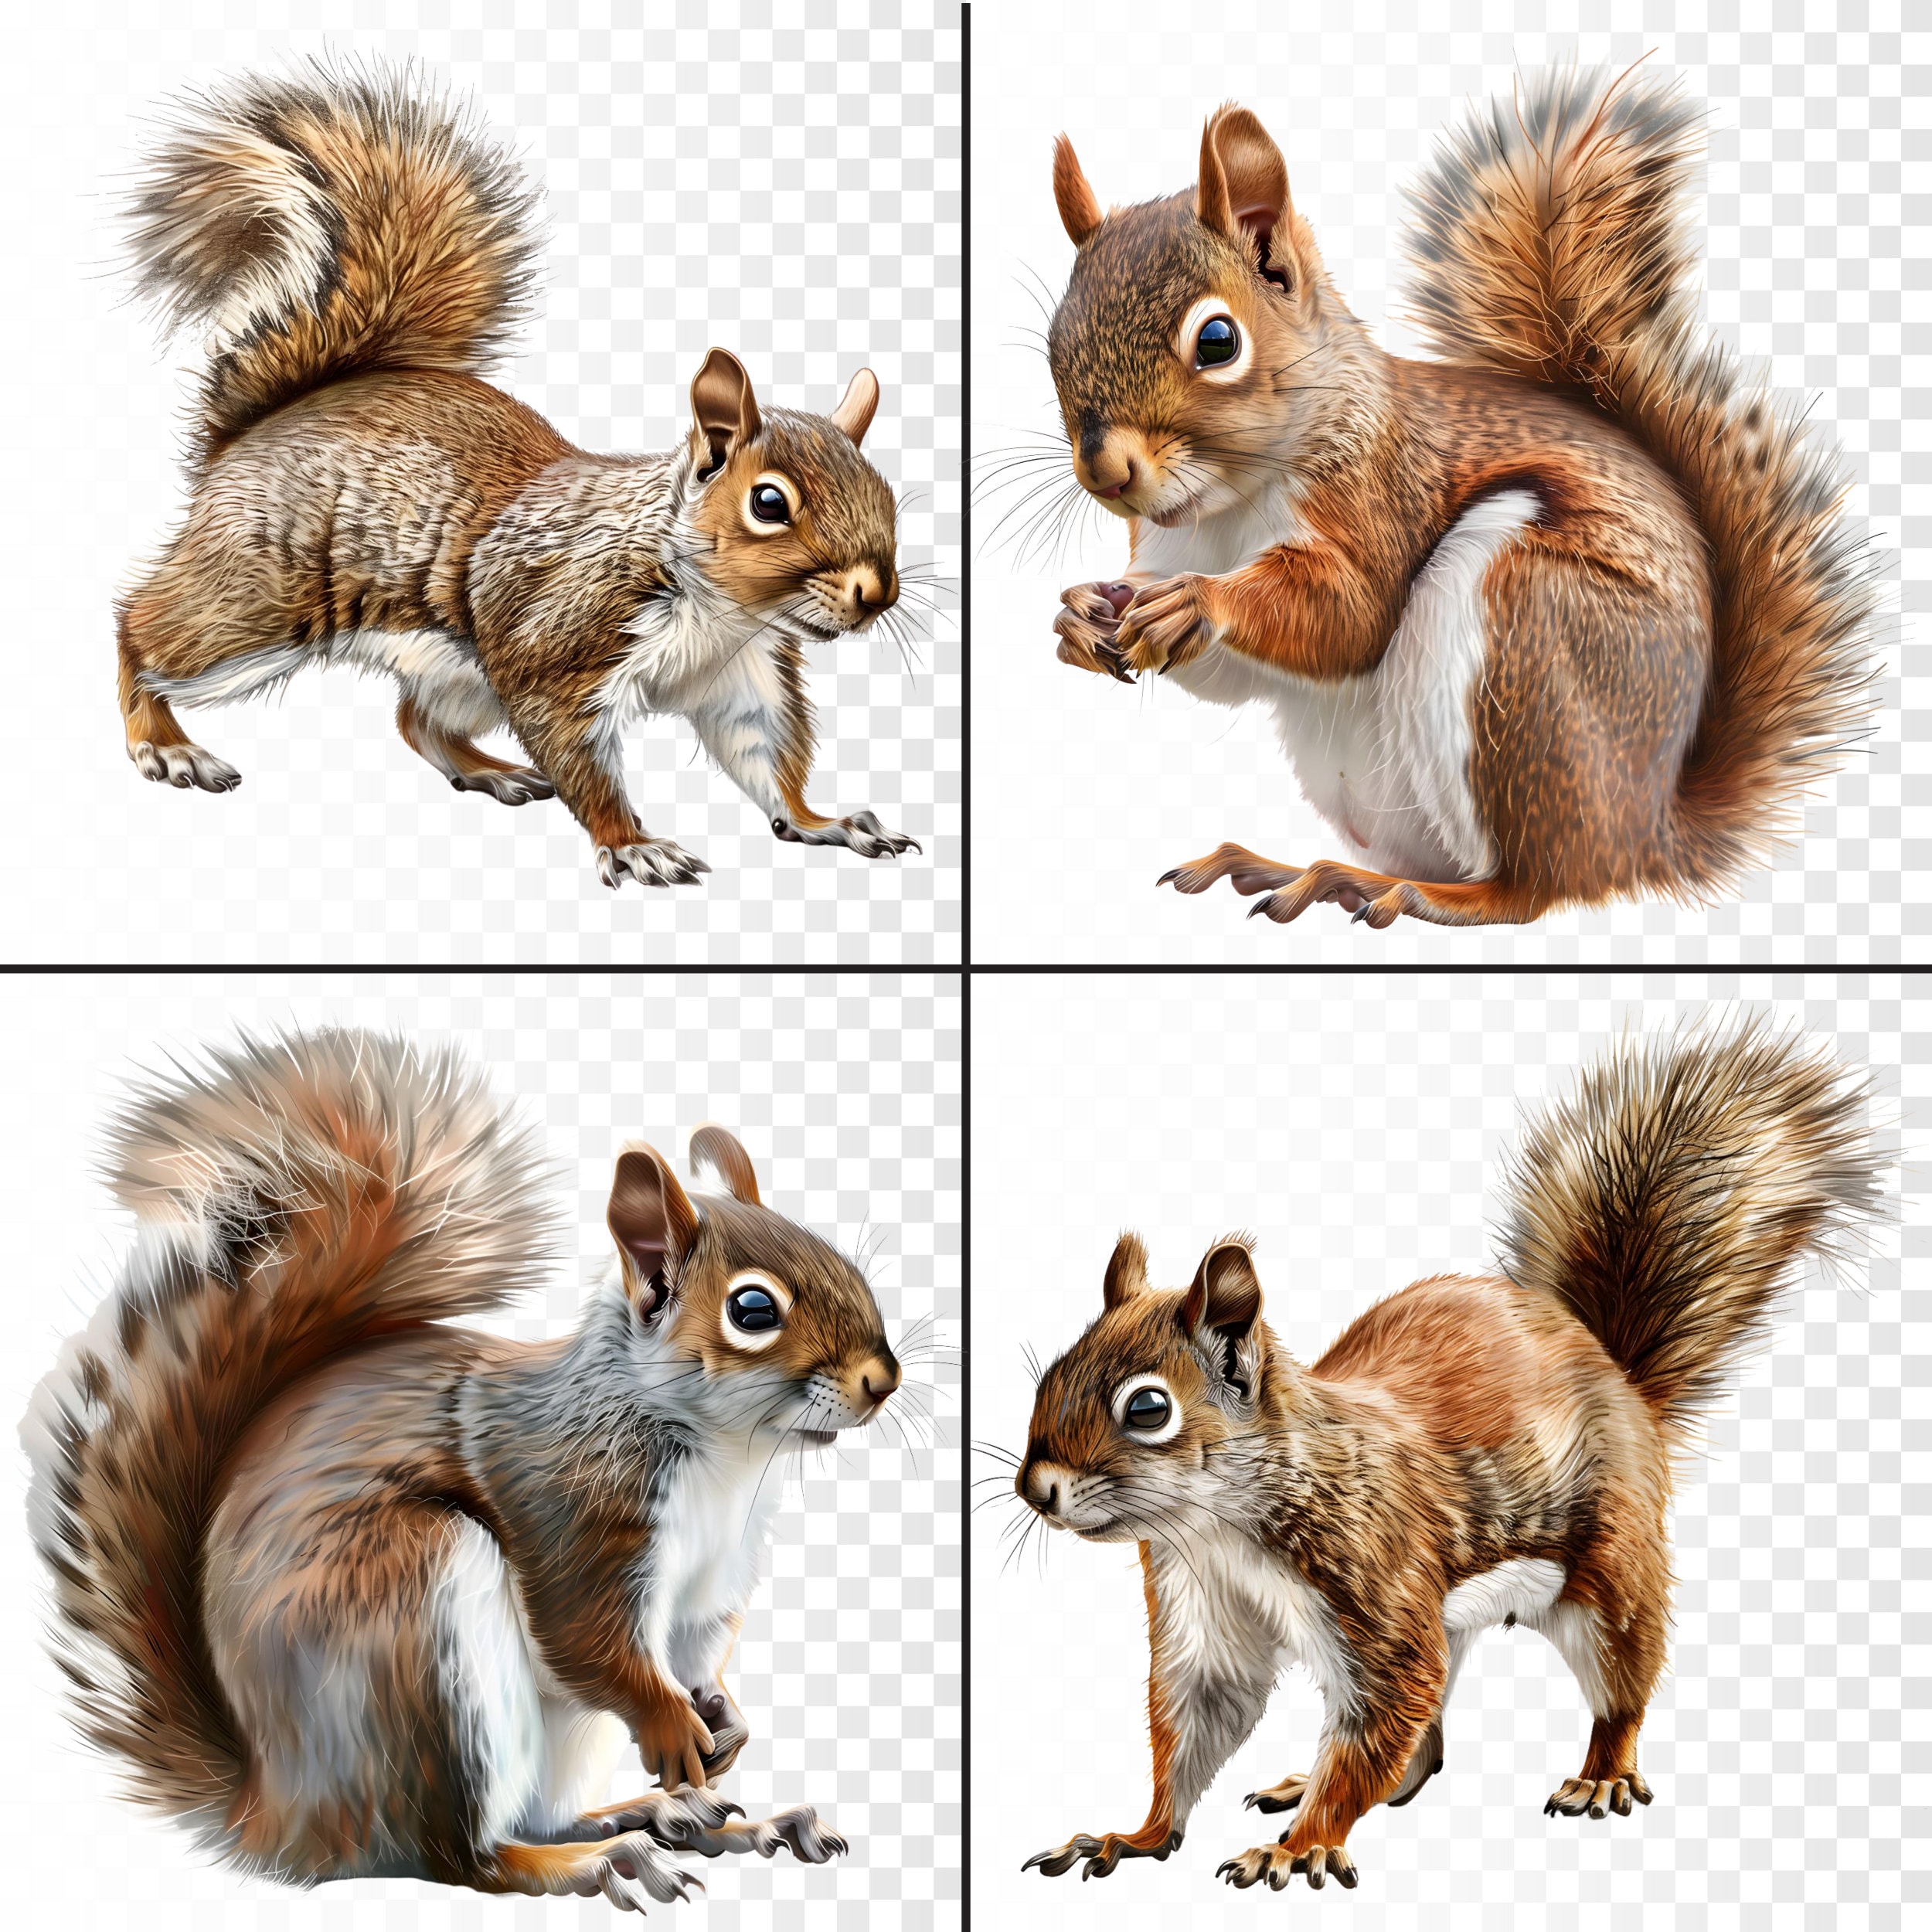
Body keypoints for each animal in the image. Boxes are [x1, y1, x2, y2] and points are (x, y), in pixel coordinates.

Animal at [22, 1028, 905, 1908]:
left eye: (843, 1262)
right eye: (753, 1310)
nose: (883, 1379)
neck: (728, 1457)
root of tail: (279, 1809)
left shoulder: (712, 1577)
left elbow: (694, 1649)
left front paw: (726, 1721)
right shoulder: (568, 1508)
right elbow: (589, 1639)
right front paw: (669, 1724)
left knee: (539, 1816)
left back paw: (682, 1818)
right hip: (416, 1629)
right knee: (458, 1854)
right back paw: (607, 1856)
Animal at [114, 61, 918, 890]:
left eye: (887, 494)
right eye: (768, 502)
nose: (877, 594)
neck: (716, 613)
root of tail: (256, 430)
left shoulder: (744, 676)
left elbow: (768, 758)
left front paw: (826, 823)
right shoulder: (558, 642)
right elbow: (577, 755)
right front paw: (633, 845)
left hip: (460, 676)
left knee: (416, 719)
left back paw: (487, 770)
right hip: (257, 598)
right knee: (142, 635)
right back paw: (167, 744)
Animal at [1014, 1019, 1884, 1891]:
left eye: (1148, 1408)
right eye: (1052, 1374)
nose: (1036, 1489)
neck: (1223, 1524)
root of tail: (1615, 1370)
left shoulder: (1376, 1578)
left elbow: (1384, 1707)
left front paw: (1299, 1848)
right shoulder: (1203, 1604)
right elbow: (1200, 1716)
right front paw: (1136, 1834)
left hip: (1611, 1569)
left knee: (1619, 1683)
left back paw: (1600, 1772)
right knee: (1422, 1744)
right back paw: (1304, 1778)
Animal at [1042, 66, 1871, 927]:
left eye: (1216, 341)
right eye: (1053, 344)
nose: (1105, 472)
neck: (1223, 511)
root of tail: (1646, 832)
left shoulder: (1379, 491)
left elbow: (1349, 615)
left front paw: (1200, 601)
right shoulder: (1163, 543)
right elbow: (1224, 671)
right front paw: (1080, 615)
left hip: (1526, 638)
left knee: (1533, 888)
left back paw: (1407, 891)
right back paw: (1304, 870)